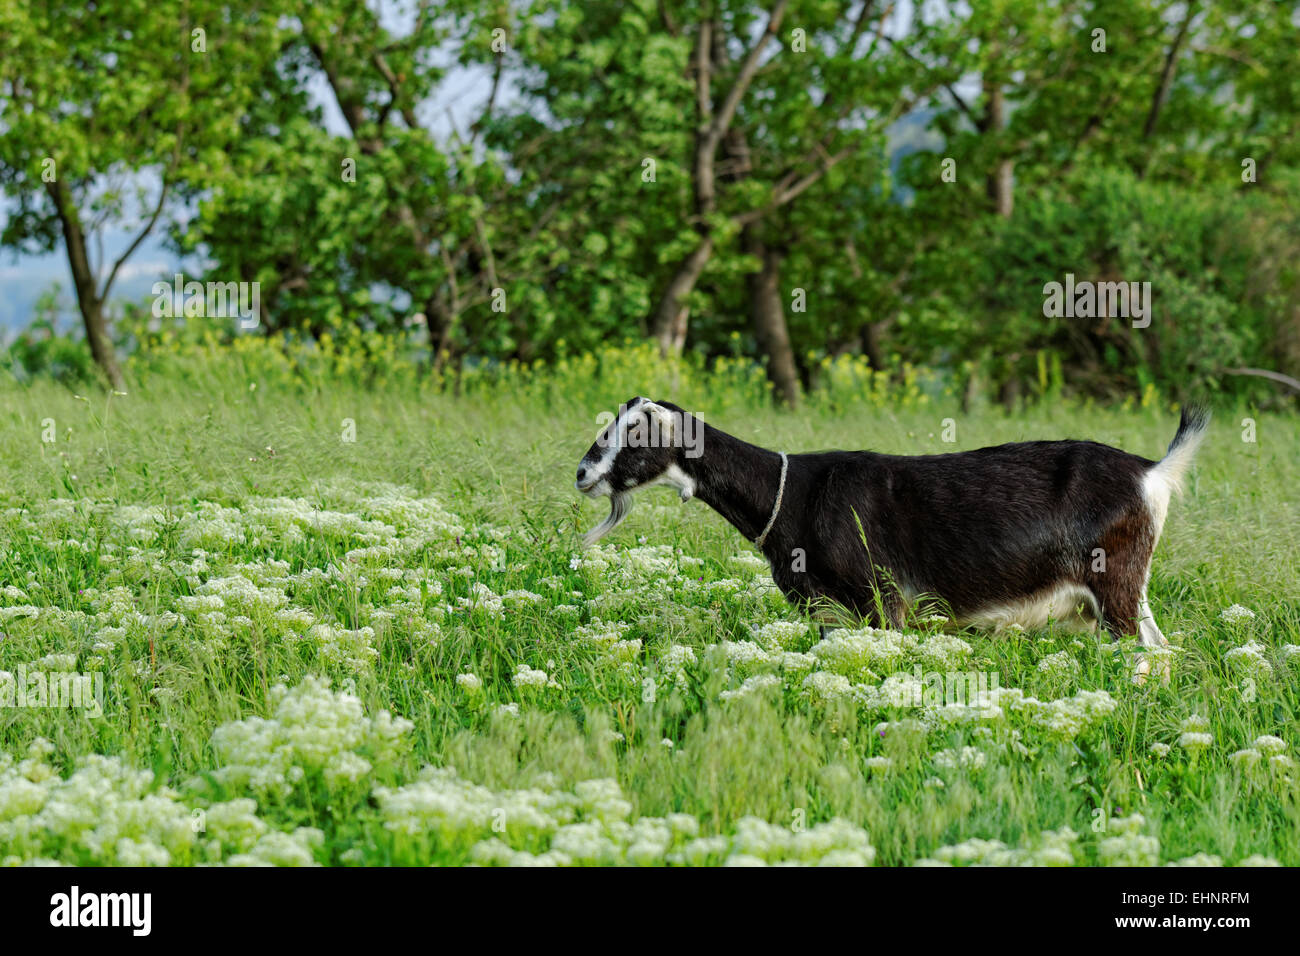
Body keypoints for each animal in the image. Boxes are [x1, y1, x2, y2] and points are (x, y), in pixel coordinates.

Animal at [575, 397, 1209, 682]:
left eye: (636, 432)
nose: (582, 473)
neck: (796, 492)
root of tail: (1152, 471)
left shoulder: (883, 600)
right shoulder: (827, 610)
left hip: (1114, 583)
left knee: (1147, 652)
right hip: (1128, 589)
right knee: (1162, 646)